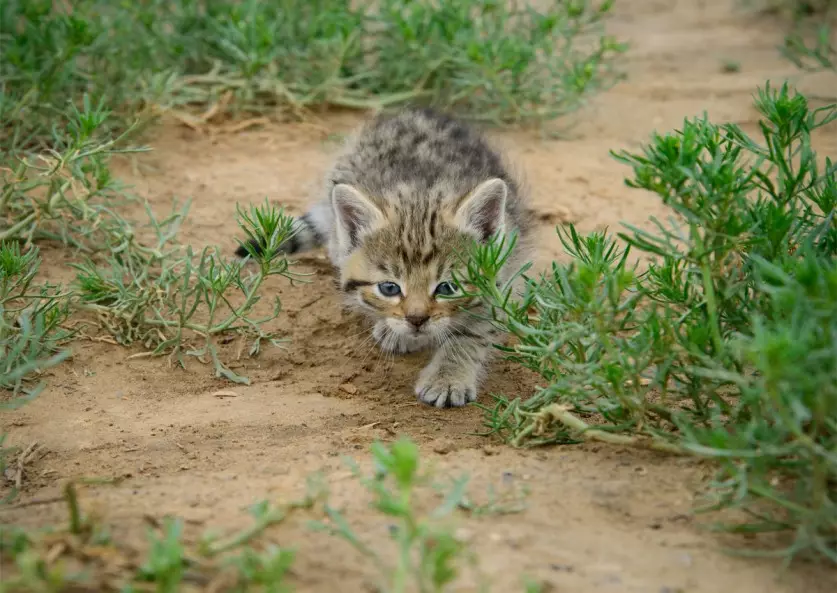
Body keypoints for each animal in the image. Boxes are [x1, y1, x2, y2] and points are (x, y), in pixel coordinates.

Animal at [235, 108, 532, 408]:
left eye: (447, 288)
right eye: (389, 288)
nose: (416, 320)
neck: (420, 194)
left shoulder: (503, 274)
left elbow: (473, 331)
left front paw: (448, 377)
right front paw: (395, 331)